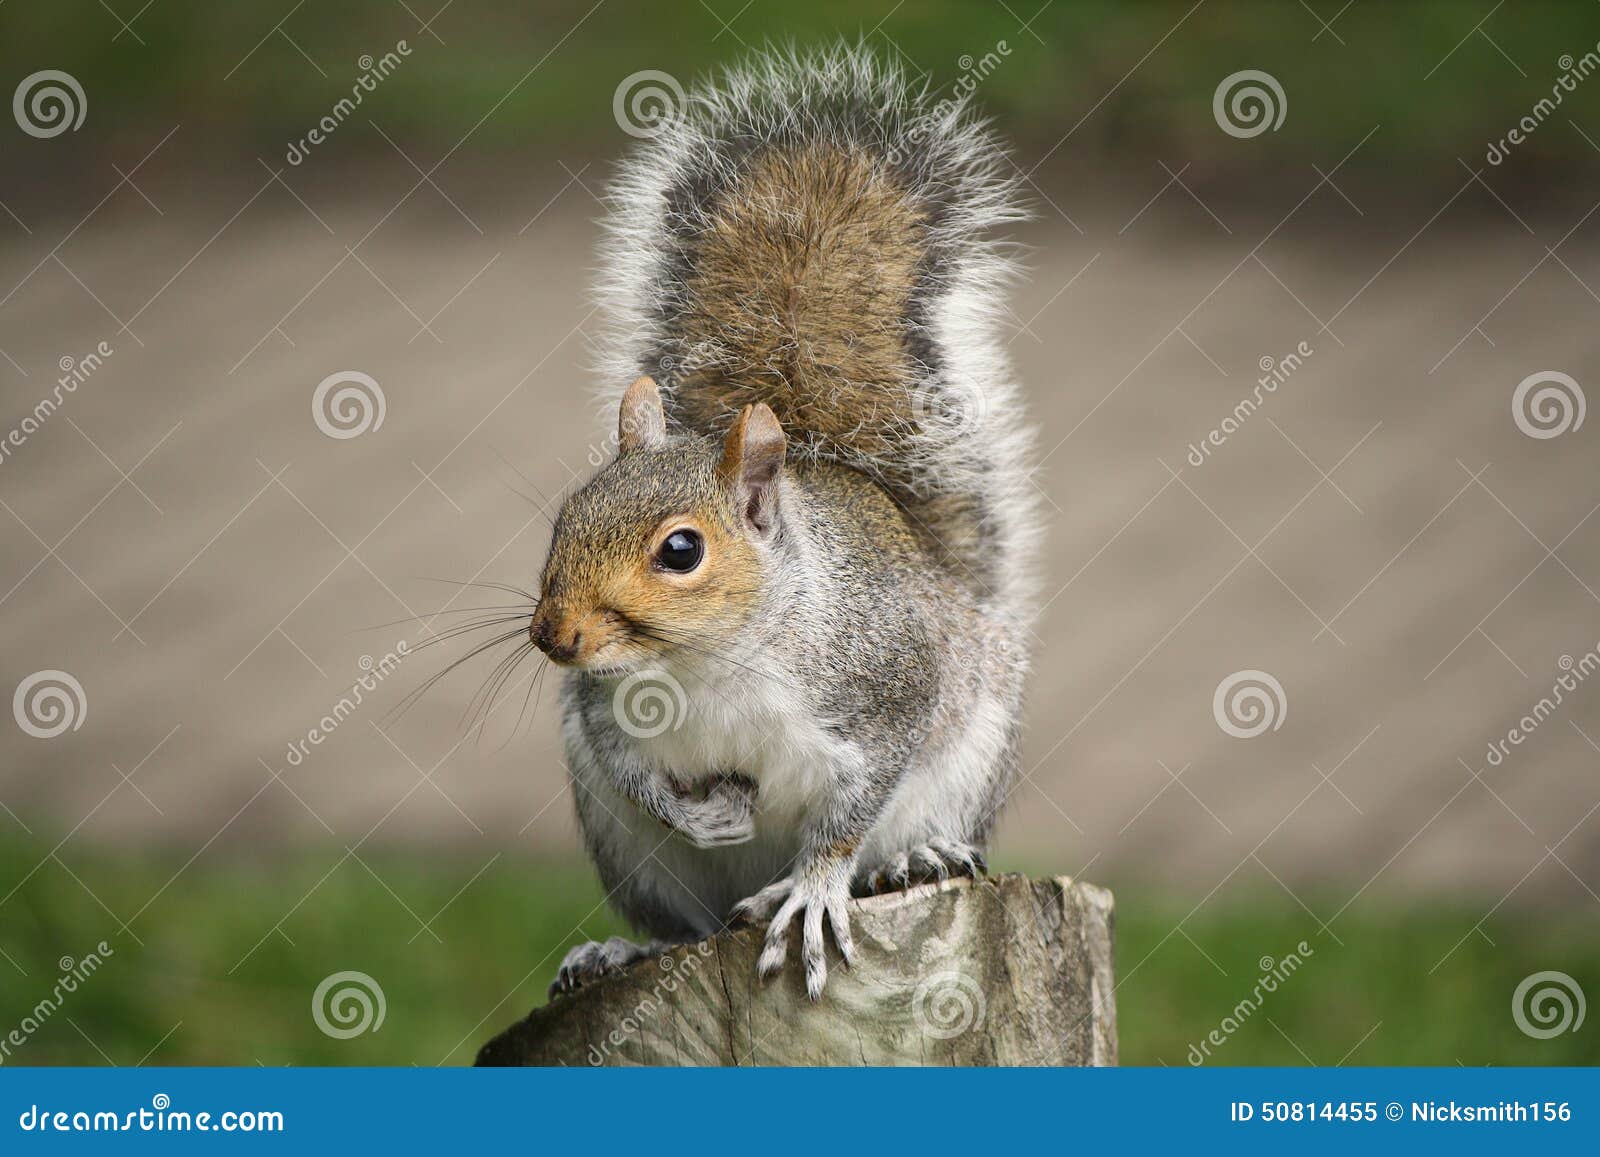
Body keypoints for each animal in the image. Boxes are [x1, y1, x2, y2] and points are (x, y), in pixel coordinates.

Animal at [528, 44, 1039, 1000]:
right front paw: (700, 811)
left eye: (681, 550)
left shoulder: (883, 686)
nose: (554, 636)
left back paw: (911, 860)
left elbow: (850, 809)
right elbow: (629, 766)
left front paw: (814, 886)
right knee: (685, 924)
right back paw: (619, 950)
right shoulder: (603, 717)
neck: (703, 662)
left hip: (968, 762)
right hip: (632, 854)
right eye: (563, 519)